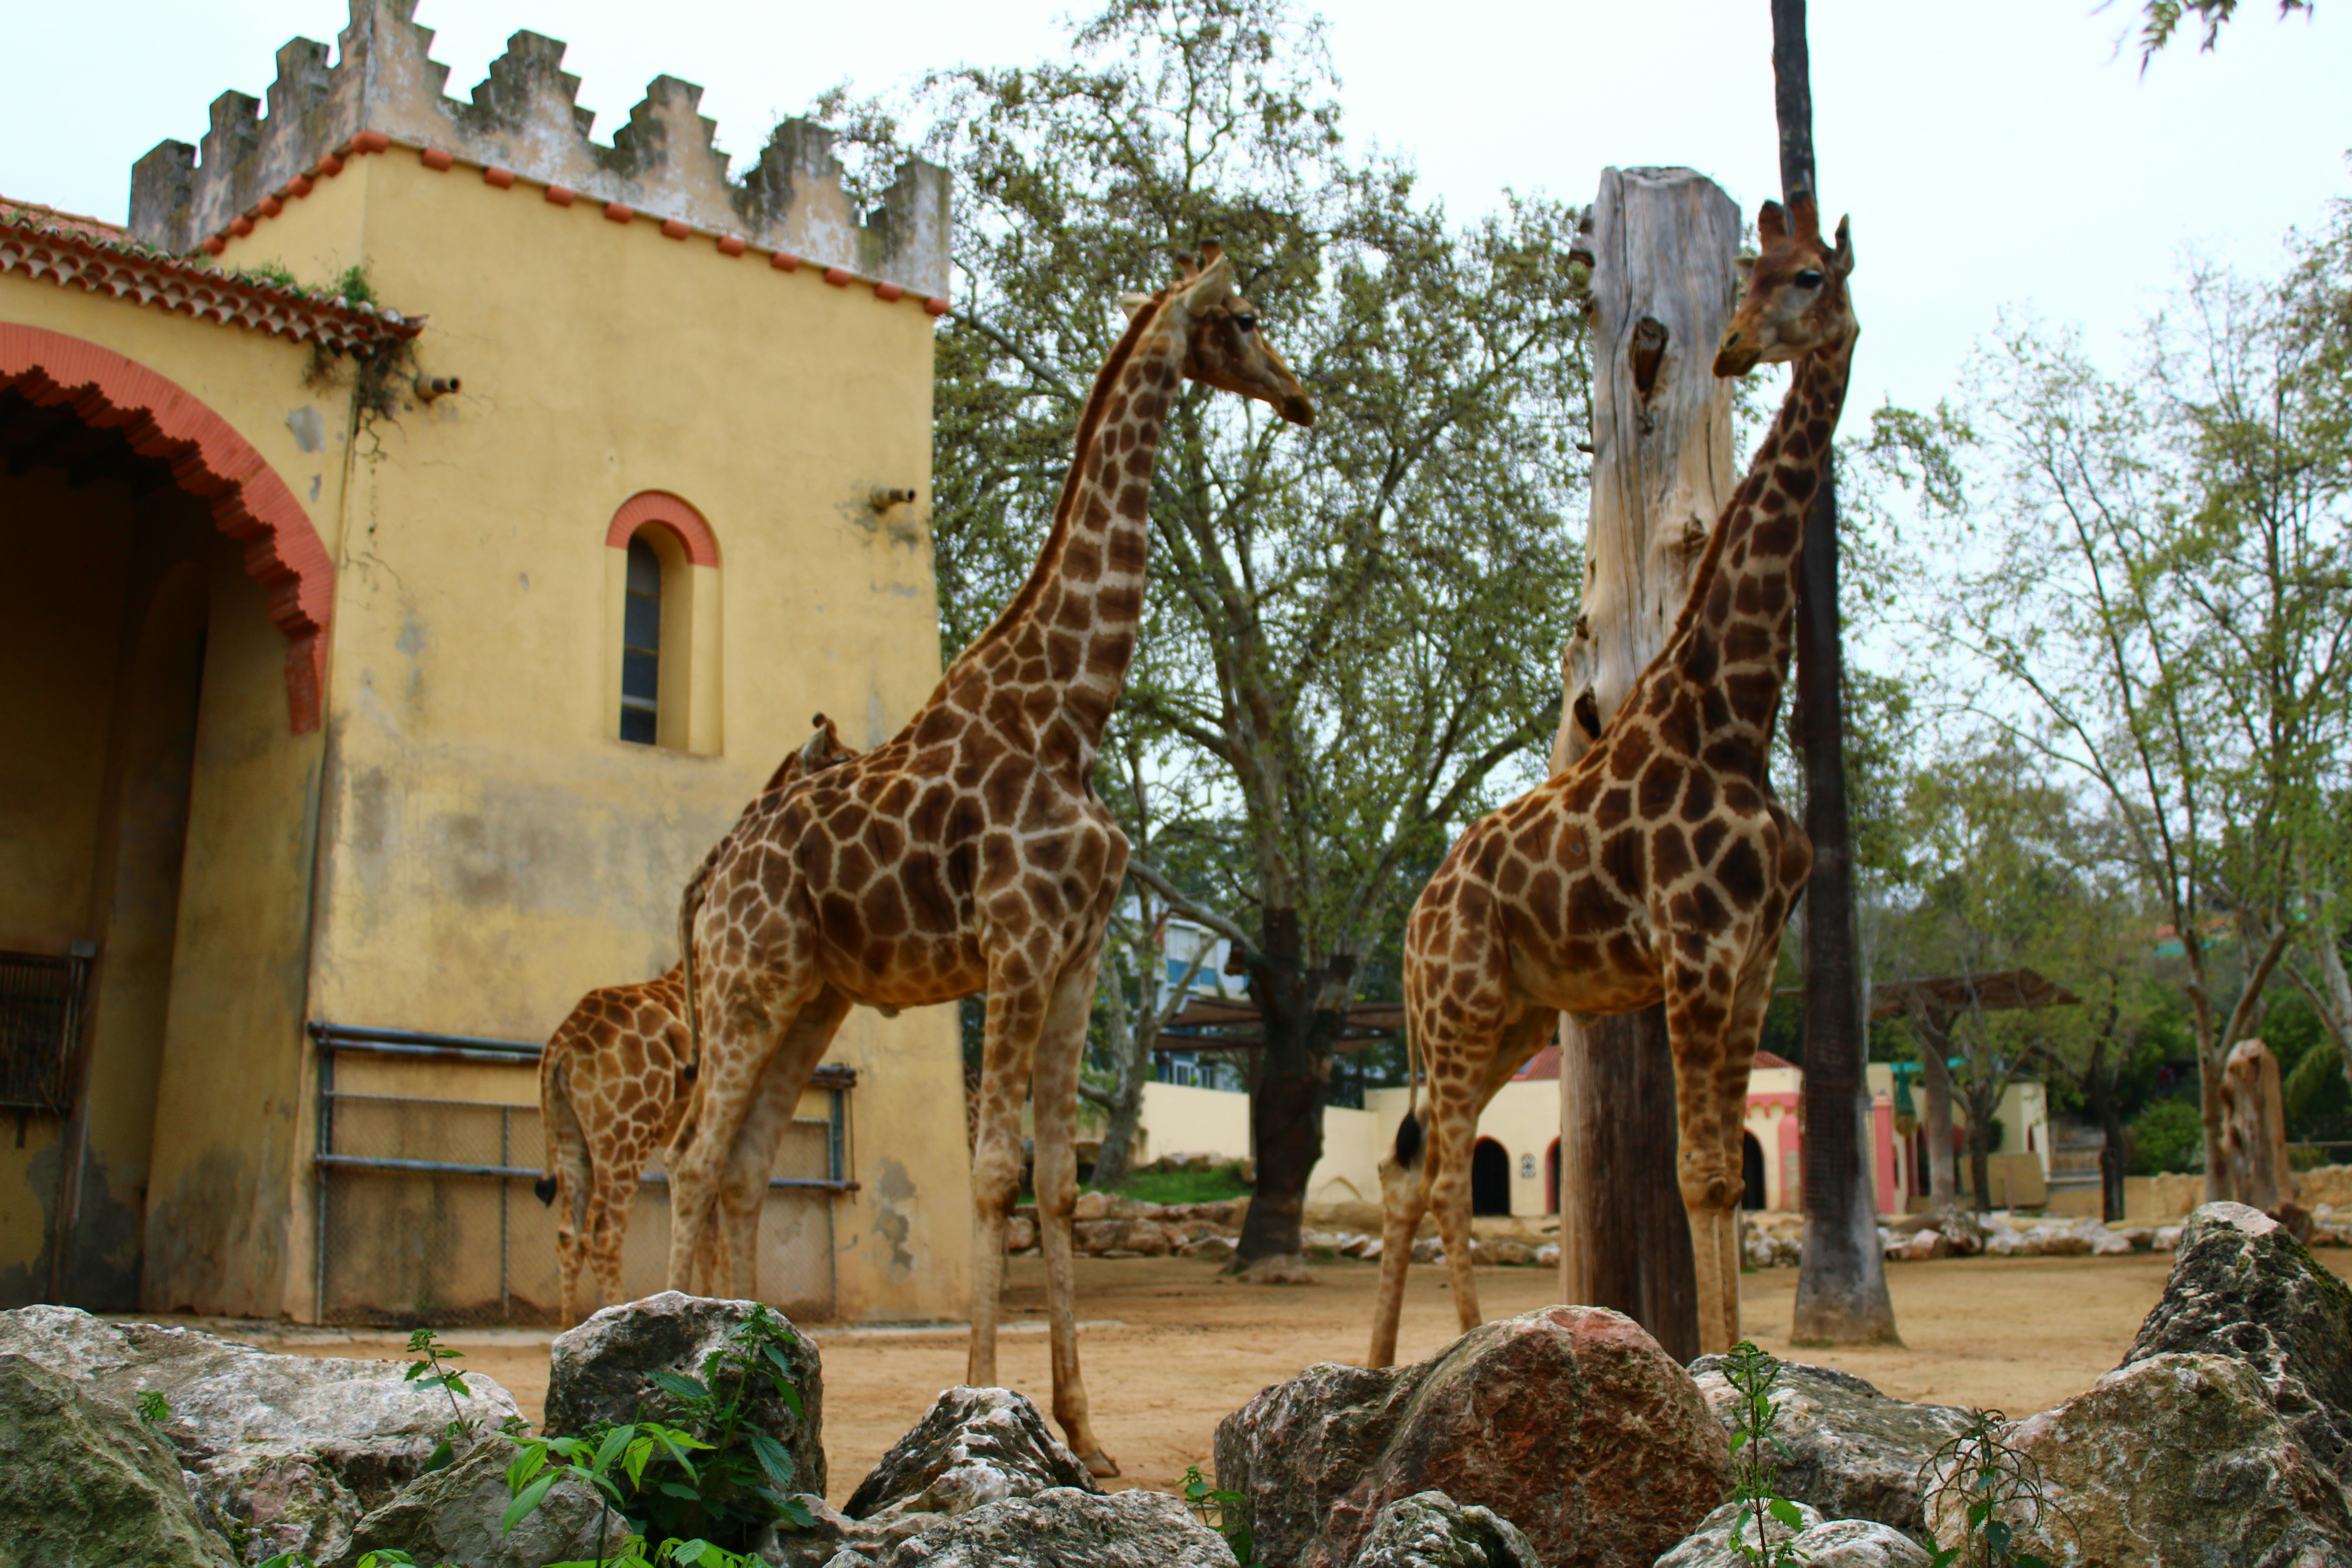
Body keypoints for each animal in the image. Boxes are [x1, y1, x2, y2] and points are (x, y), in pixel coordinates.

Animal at [536, 716, 858, 1325]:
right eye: (842, 760)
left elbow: (709, 1223)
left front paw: (709, 1307)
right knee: (603, 1230)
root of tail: (560, 1049)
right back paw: (615, 1318)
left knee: (567, 1231)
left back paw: (568, 1330)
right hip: (623, 1128)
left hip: (570, 1132)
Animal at [665, 244, 1313, 1475]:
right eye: (1248, 317)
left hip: (810, 995)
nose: (1301, 398)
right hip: (744, 981)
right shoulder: (1016, 944)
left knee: (743, 1163)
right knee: (689, 1159)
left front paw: (1086, 1436)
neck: (1072, 713)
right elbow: (993, 1172)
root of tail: (703, 881)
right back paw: (659, 1383)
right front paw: (978, 1407)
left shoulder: (1077, 956)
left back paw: (749, 1377)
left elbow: (1057, 1182)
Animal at [1366, 194, 1856, 1367]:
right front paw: (1718, 1361)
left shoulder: (1757, 955)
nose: (1734, 349)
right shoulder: (1697, 950)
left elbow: (1727, 1180)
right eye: (1748, 275)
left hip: (1507, 1015)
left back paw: (1376, 1362)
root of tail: (1414, 920)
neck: (1737, 715)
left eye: (1811, 276)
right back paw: (1469, 1344)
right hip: (1460, 1007)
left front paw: (1738, 1357)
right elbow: (1701, 1172)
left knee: (1409, 1169)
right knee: (1445, 1172)